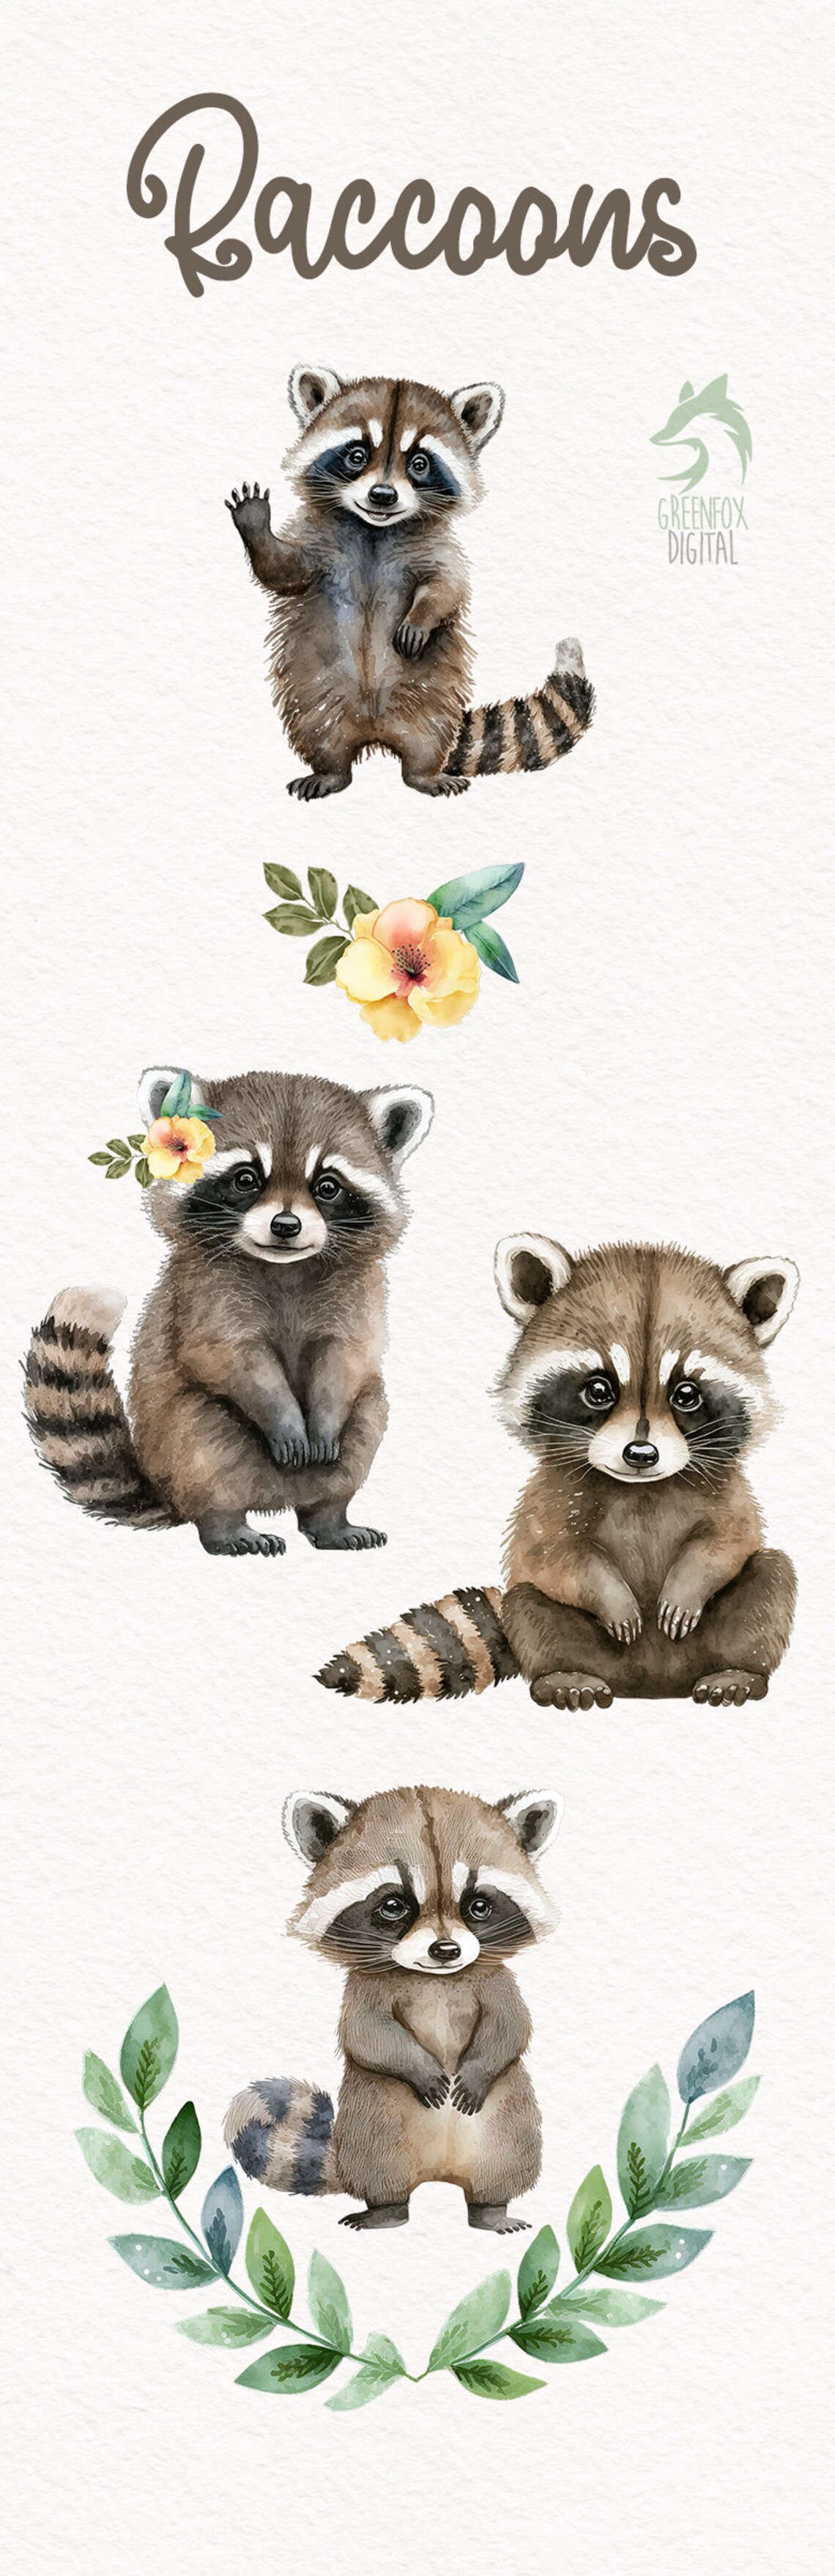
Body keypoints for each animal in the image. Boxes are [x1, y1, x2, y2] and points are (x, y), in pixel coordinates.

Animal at [24, 1068, 432, 1557]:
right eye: (246, 1179)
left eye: (328, 1186)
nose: (286, 1226)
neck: (284, 1266)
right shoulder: (204, 1288)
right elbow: (226, 1352)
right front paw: (286, 1419)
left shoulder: (359, 1290)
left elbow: (348, 1354)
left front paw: (324, 1419)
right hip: (180, 1439)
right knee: (206, 1443)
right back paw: (227, 1526)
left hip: (350, 1439)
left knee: (364, 1424)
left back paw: (331, 1518)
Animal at [224, 1784, 561, 2232]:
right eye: (393, 1906)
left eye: (479, 1906)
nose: (446, 1950)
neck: (436, 1979)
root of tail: (439, 2173)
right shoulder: (366, 1988)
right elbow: (366, 2033)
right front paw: (418, 2067)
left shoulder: (496, 1981)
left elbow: (511, 2025)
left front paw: (478, 2069)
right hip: (372, 2124)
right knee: (381, 2170)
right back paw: (385, 2210)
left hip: (509, 2124)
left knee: (502, 2164)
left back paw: (491, 2210)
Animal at [226, 365, 594, 799]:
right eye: (356, 455)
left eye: (420, 463)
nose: (382, 495)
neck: (374, 530)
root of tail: (375, 731)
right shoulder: (316, 541)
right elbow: (285, 571)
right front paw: (256, 529)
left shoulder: (441, 548)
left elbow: (447, 587)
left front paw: (422, 615)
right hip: (315, 691)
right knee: (320, 732)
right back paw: (331, 772)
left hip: (432, 697)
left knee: (426, 739)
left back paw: (424, 774)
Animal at [318, 1239, 798, 1706]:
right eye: (599, 1389)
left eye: (686, 1394)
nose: (641, 1453)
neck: (640, 1488)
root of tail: (651, 1687)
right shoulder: (549, 1494)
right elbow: (552, 1556)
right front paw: (614, 1599)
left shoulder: (726, 1487)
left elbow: (731, 1539)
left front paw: (687, 1586)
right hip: (552, 1630)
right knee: (529, 1608)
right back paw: (565, 1676)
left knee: (772, 1576)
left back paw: (736, 1672)